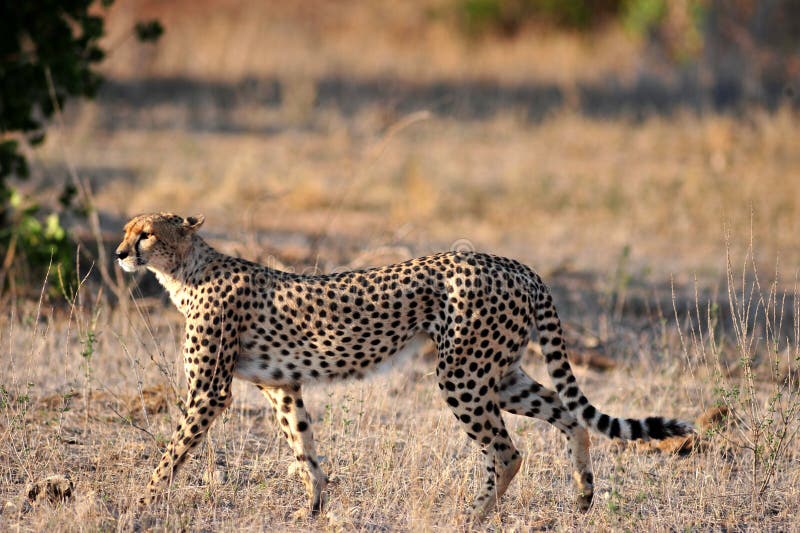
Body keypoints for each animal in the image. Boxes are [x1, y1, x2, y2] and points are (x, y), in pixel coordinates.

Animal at [115, 212, 693, 520]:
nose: (120, 253)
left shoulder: (210, 391)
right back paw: (582, 496)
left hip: (461, 375)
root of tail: (513, 264)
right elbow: (304, 448)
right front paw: (314, 509)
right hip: (498, 373)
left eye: (146, 233)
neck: (186, 270)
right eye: (126, 230)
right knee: (569, 416)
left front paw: (140, 503)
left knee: (507, 451)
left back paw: (473, 517)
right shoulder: (281, 386)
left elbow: (171, 454)